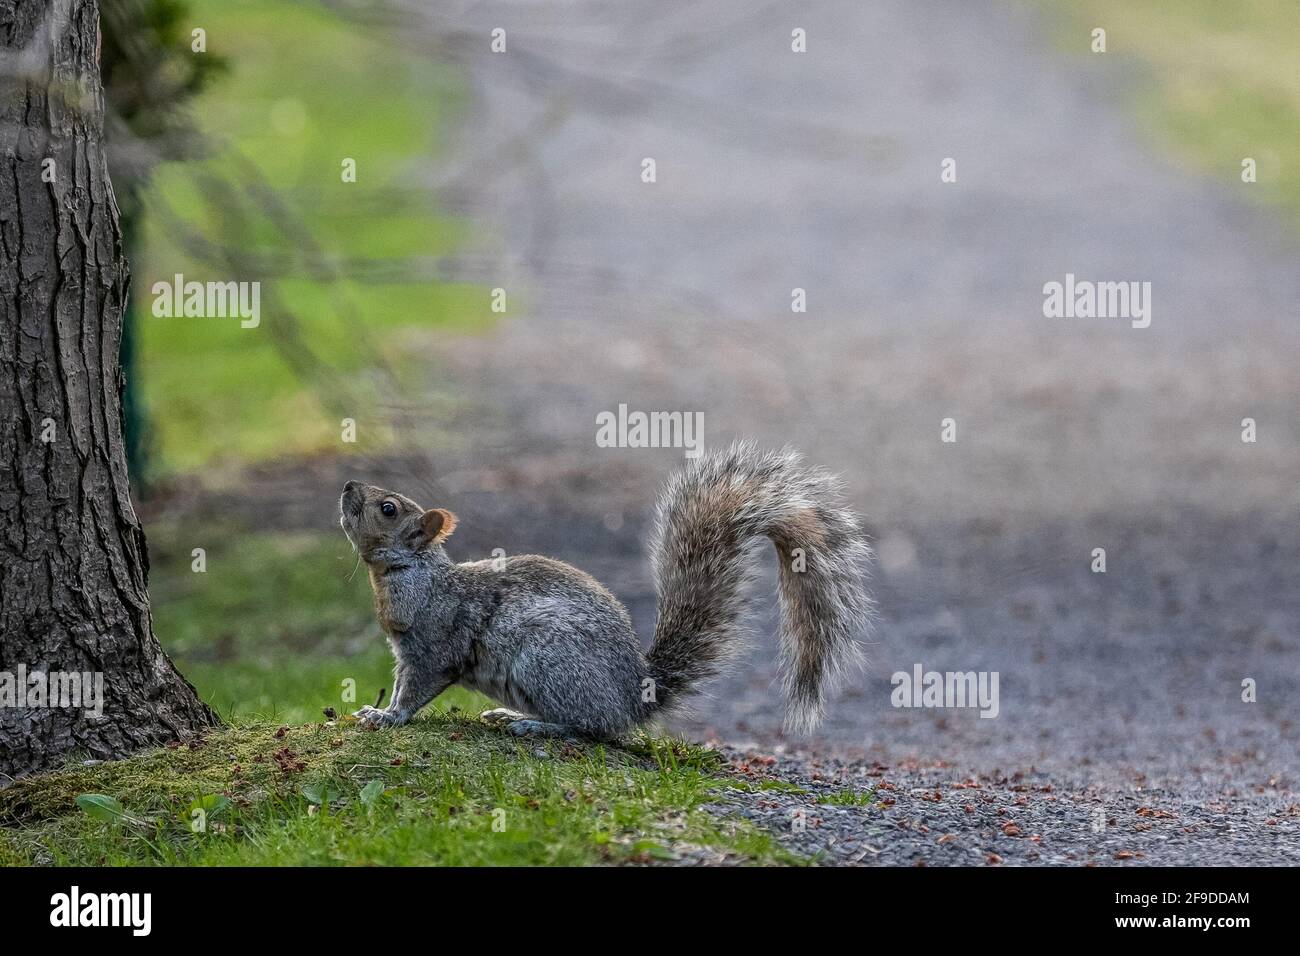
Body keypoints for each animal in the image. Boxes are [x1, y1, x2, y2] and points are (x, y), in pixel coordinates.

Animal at [339, 442, 873, 739]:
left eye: (387, 508)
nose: (347, 486)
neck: (411, 575)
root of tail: (633, 696)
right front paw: (374, 708)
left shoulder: (434, 643)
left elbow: (418, 686)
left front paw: (389, 717)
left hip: (551, 660)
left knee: (593, 727)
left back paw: (538, 725)